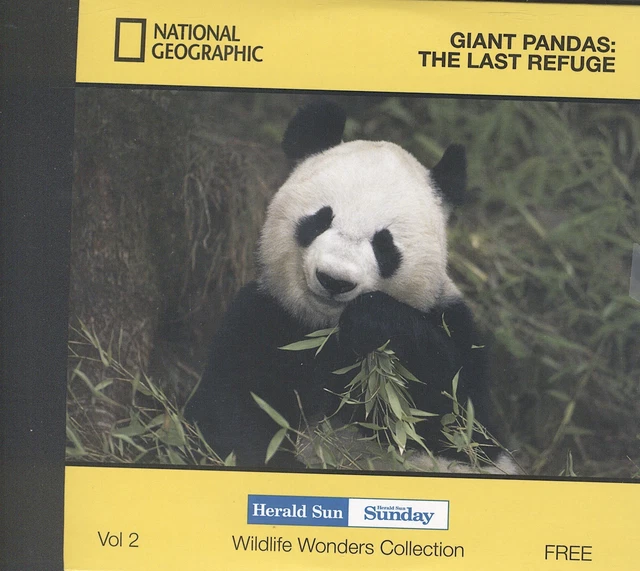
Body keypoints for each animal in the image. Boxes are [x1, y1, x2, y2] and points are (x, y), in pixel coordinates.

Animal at [186, 101, 517, 474]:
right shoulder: (266, 318)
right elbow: (231, 411)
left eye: (384, 244)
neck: (325, 332)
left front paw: (375, 321)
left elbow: (459, 419)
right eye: (319, 219)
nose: (334, 279)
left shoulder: (451, 322)